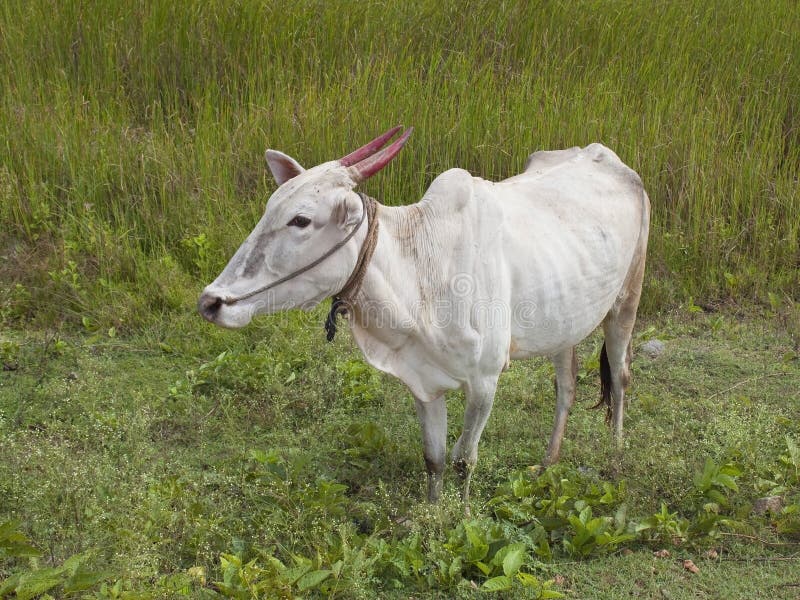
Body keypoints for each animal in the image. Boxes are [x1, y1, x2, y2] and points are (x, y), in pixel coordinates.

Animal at [198, 127, 650, 507]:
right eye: (270, 209)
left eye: (301, 220)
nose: (211, 302)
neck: (419, 269)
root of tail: (605, 155)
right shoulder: (423, 382)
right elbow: (434, 458)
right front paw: (433, 514)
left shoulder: (485, 381)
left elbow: (464, 460)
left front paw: (463, 516)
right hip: (565, 323)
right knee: (567, 385)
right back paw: (549, 461)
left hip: (627, 300)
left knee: (620, 376)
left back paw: (615, 451)